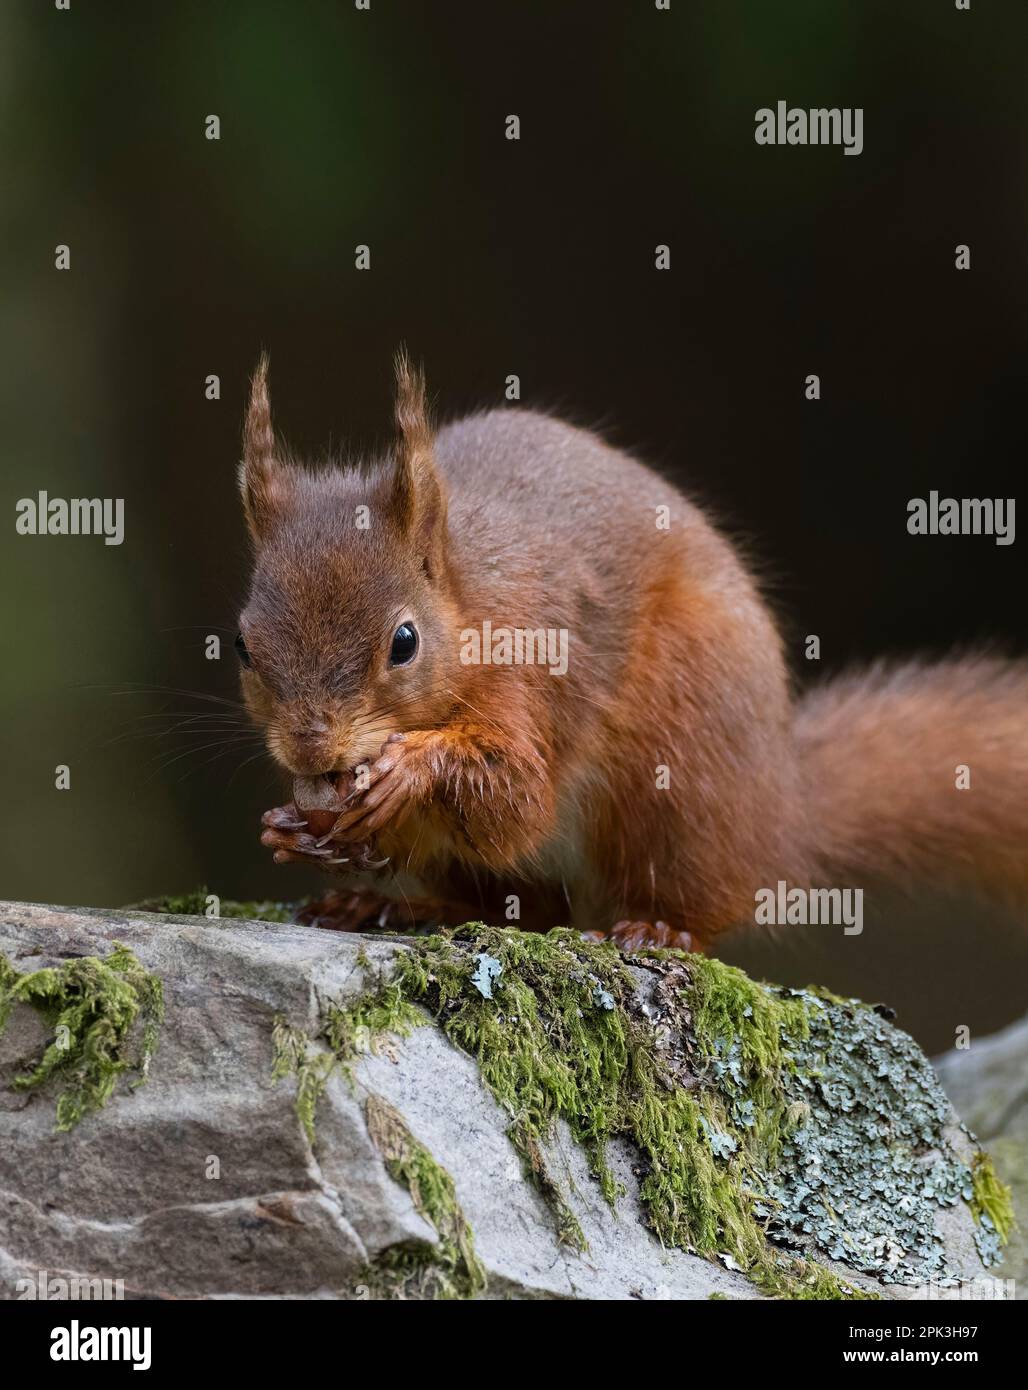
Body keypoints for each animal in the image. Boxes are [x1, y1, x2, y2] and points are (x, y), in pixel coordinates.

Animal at [238, 351, 1028, 953]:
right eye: (243, 646)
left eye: (404, 643)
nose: (311, 748)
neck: (470, 605)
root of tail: (784, 809)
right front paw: (290, 830)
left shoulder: (532, 668)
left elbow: (516, 797)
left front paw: (408, 771)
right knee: (531, 909)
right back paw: (389, 906)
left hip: (681, 765)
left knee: (687, 896)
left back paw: (658, 929)